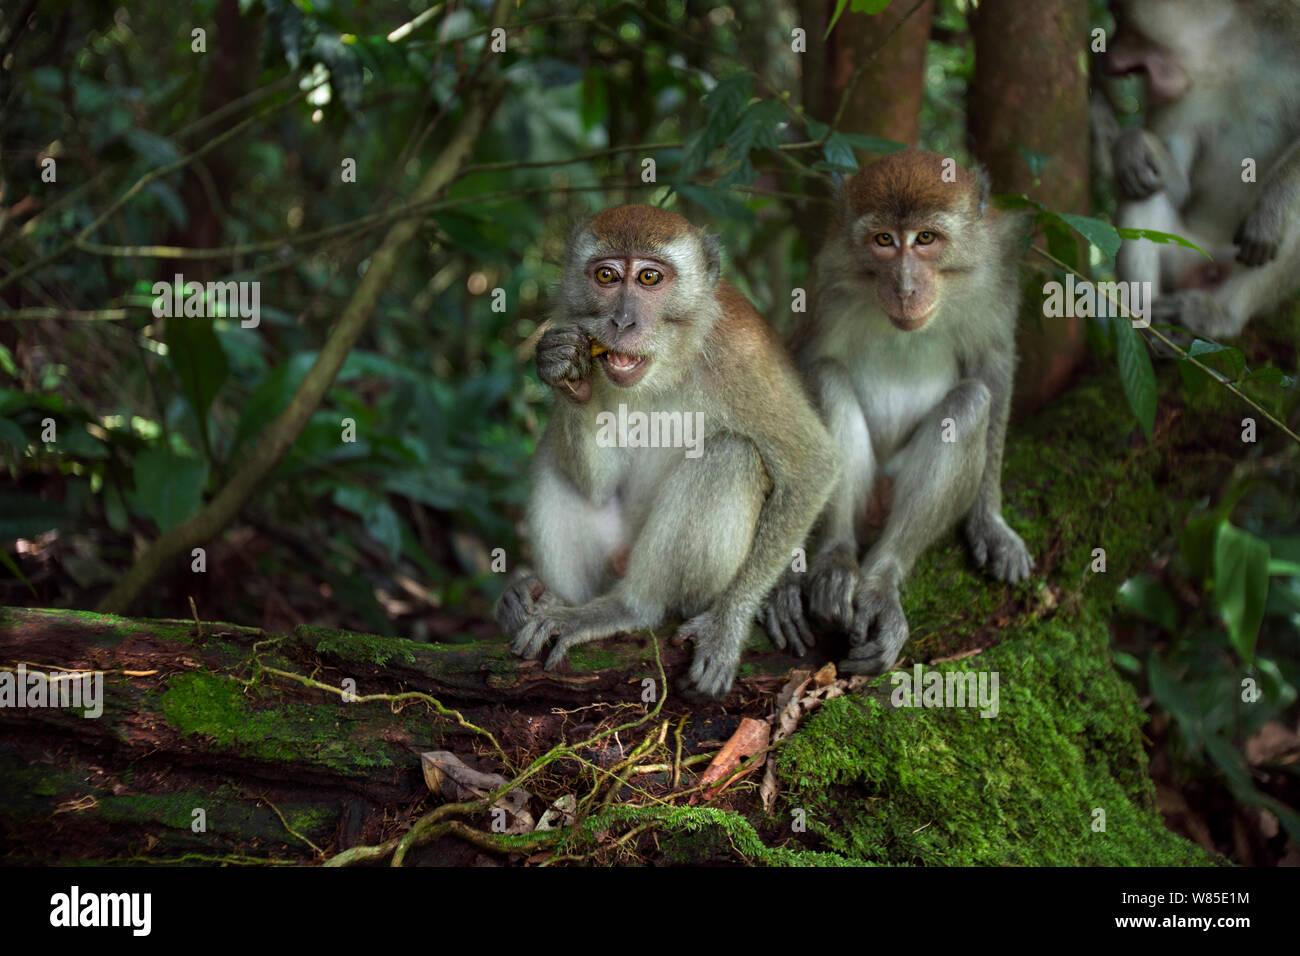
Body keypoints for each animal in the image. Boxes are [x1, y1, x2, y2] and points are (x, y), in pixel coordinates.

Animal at [495, 205, 838, 698]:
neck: (671, 360)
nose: (621, 322)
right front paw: (564, 370)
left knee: (730, 455)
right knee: (552, 461)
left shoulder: (741, 359)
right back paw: (545, 598)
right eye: (606, 275)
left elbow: (813, 467)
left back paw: (624, 609)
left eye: (650, 278)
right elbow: (598, 486)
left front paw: (729, 622)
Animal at [762, 150, 1033, 676]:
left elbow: (991, 368)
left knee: (969, 403)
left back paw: (881, 584)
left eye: (926, 239)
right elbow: (801, 364)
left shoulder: (993, 278)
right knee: (827, 377)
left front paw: (990, 518)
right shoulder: (829, 279)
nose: (905, 287)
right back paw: (835, 561)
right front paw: (783, 573)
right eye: (884, 241)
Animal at [1106, 0, 1300, 338]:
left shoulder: (1292, 33)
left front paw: (1271, 208)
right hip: (1180, 253)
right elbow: (1180, 187)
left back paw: (1217, 315)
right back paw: (1149, 323)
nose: (1112, 63)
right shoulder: (1178, 96)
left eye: (1119, 17)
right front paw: (1131, 147)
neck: (1229, 49)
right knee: (1144, 190)